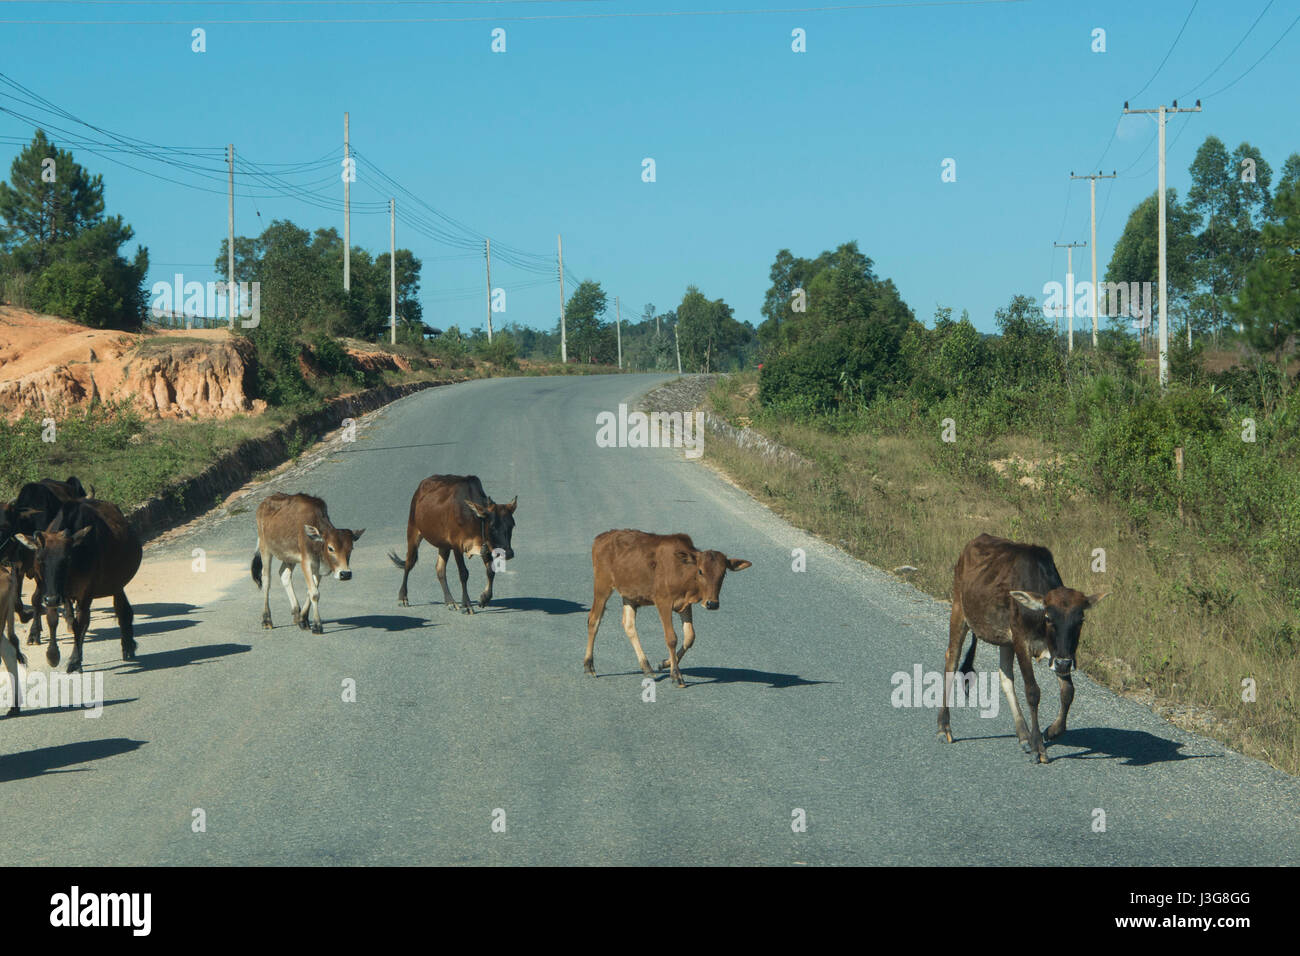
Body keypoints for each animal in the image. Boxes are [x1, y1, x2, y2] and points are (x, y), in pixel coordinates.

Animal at [14, 497, 142, 673]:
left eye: (66, 559)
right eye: (40, 559)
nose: (52, 599)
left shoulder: (85, 595)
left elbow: (81, 624)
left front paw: (75, 660)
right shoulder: (51, 592)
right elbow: (52, 619)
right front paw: (52, 655)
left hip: (117, 584)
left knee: (122, 610)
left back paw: (128, 646)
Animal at [250, 493, 364, 634]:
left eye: (351, 548)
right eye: (330, 548)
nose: (345, 574)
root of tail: (264, 502)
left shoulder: (318, 566)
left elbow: (311, 592)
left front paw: (303, 620)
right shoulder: (306, 562)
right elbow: (314, 593)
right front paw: (317, 626)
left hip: (289, 557)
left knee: (284, 575)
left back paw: (296, 614)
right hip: (265, 548)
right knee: (266, 581)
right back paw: (267, 620)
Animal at [388, 475, 517, 614]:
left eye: (512, 525)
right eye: (492, 526)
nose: (509, 553)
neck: (474, 519)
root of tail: (422, 486)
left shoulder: (485, 546)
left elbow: (490, 570)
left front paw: (484, 598)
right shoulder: (457, 546)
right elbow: (463, 573)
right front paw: (467, 605)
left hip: (443, 545)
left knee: (440, 569)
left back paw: (450, 602)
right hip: (413, 531)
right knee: (409, 563)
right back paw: (403, 598)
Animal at [584, 530, 751, 688]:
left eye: (723, 573)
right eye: (700, 571)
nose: (712, 603)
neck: (684, 575)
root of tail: (600, 538)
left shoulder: (685, 605)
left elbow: (690, 637)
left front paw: (666, 663)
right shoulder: (663, 601)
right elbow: (671, 638)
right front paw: (676, 676)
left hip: (629, 595)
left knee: (628, 625)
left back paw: (646, 667)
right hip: (602, 586)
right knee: (593, 620)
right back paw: (588, 666)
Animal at [938, 533, 1107, 763]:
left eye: (1080, 620)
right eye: (1048, 617)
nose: (1065, 663)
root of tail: (974, 542)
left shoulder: (1056, 652)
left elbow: (1068, 691)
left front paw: (1052, 731)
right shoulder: (1021, 641)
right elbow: (1033, 692)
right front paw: (1039, 748)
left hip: (1005, 641)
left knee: (1005, 676)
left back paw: (1023, 735)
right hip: (959, 609)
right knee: (952, 660)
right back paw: (944, 727)